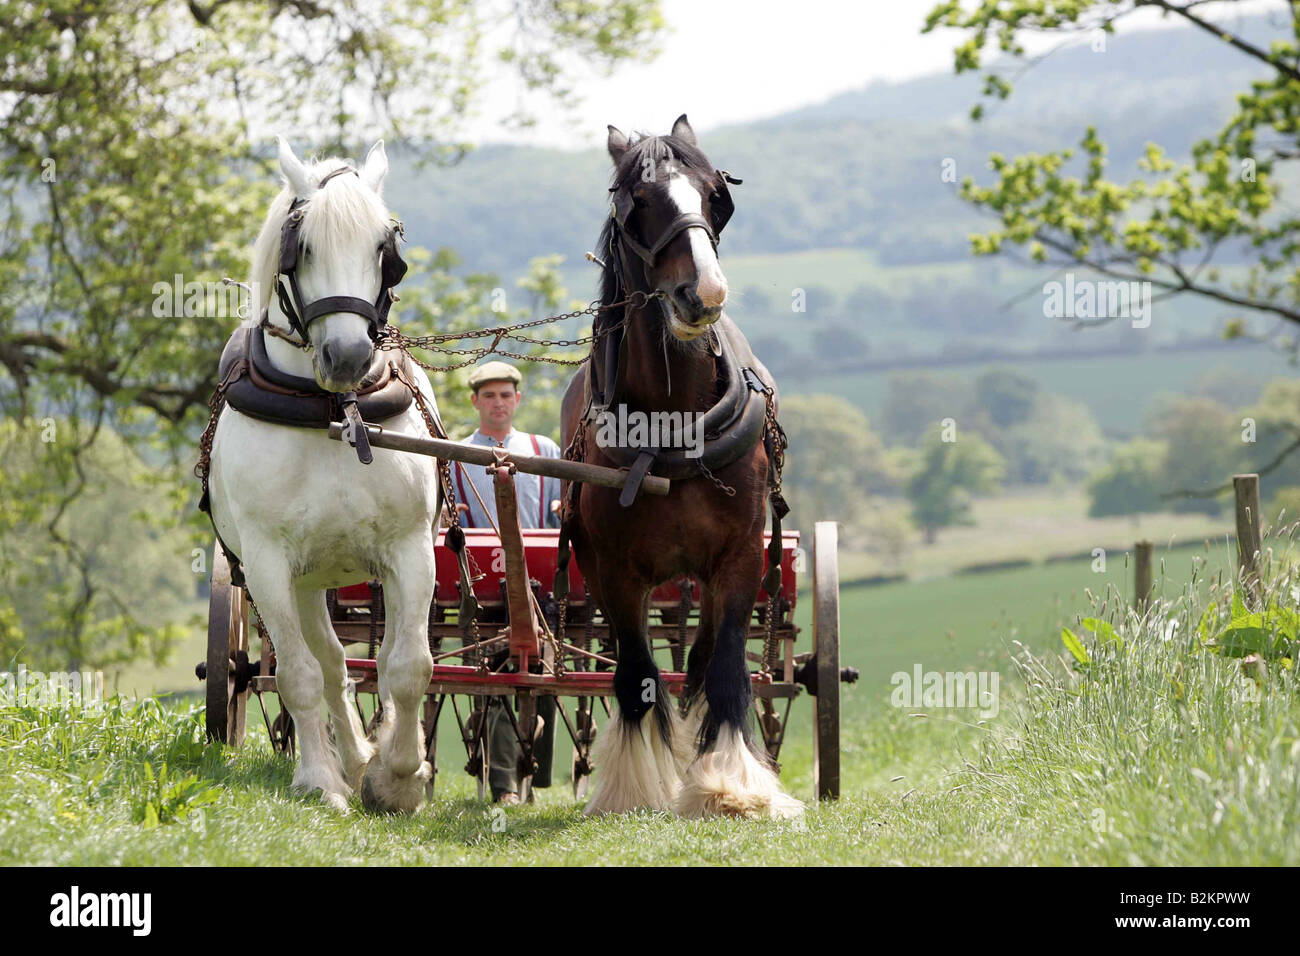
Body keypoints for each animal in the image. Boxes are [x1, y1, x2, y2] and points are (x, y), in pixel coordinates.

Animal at [206, 138, 441, 813]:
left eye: (384, 250)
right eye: (303, 246)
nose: (349, 356)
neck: (335, 413)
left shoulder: (411, 548)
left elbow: (408, 665)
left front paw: (399, 776)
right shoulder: (266, 563)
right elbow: (300, 674)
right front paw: (320, 780)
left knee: (366, 660)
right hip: (305, 582)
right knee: (330, 665)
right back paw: (348, 760)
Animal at [559, 115, 803, 819]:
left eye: (716, 196)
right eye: (638, 201)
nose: (705, 292)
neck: (671, 424)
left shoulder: (741, 557)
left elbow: (722, 667)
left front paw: (732, 785)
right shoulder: (614, 570)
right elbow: (636, 674)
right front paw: (633, 788)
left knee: (701, 656)